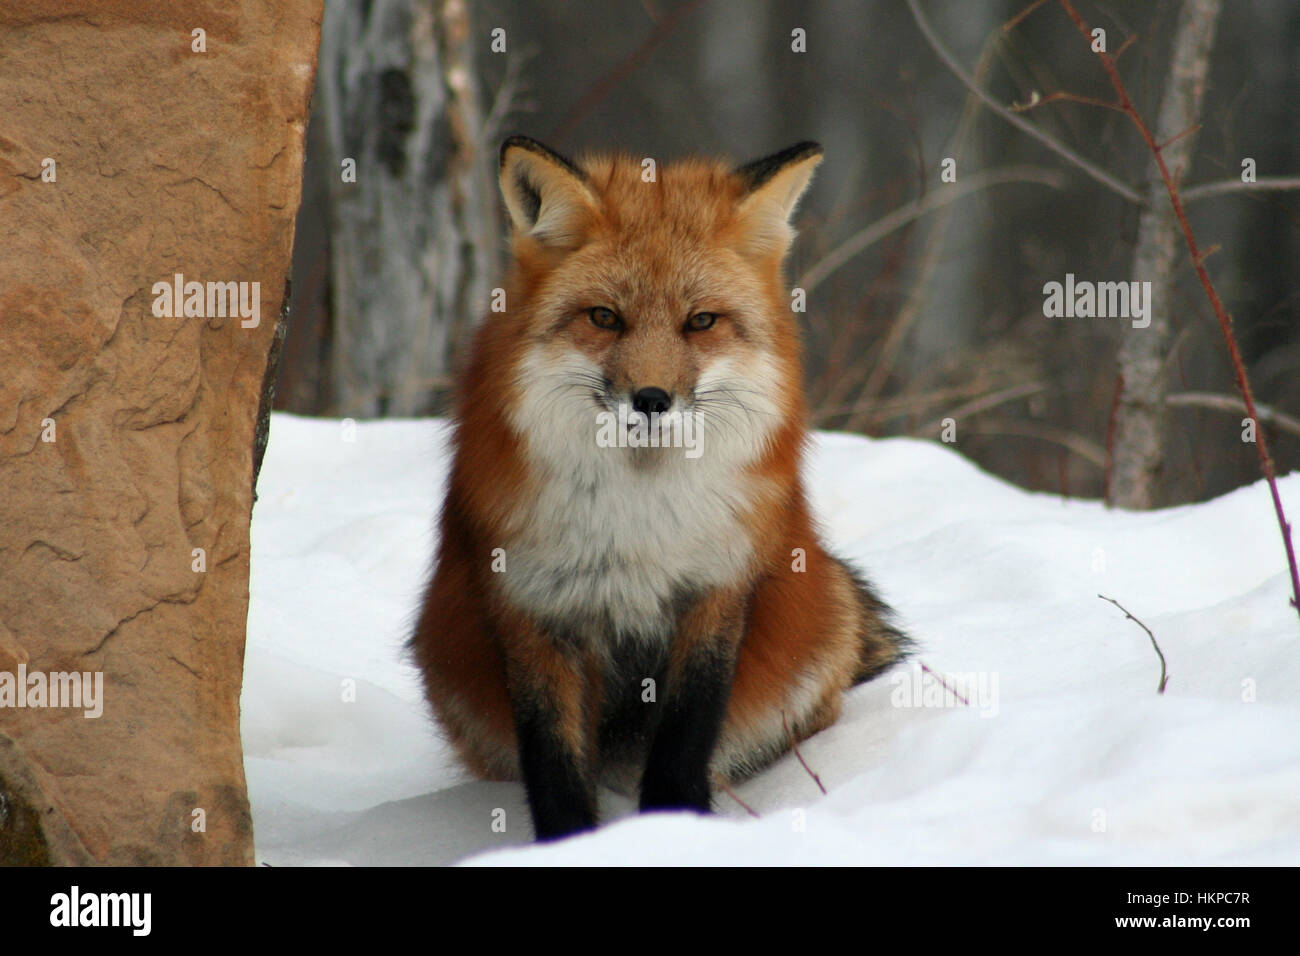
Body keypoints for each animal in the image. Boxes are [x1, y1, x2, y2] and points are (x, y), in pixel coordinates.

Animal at [409, 135, 909, 841]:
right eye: (604, 318)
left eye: (700, 322)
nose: (651, 400)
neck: (639, 521)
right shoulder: (533, 607)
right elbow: (554, 760)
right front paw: (570, 846)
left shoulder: (715, 592)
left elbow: (685, 737)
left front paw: (676, 826)